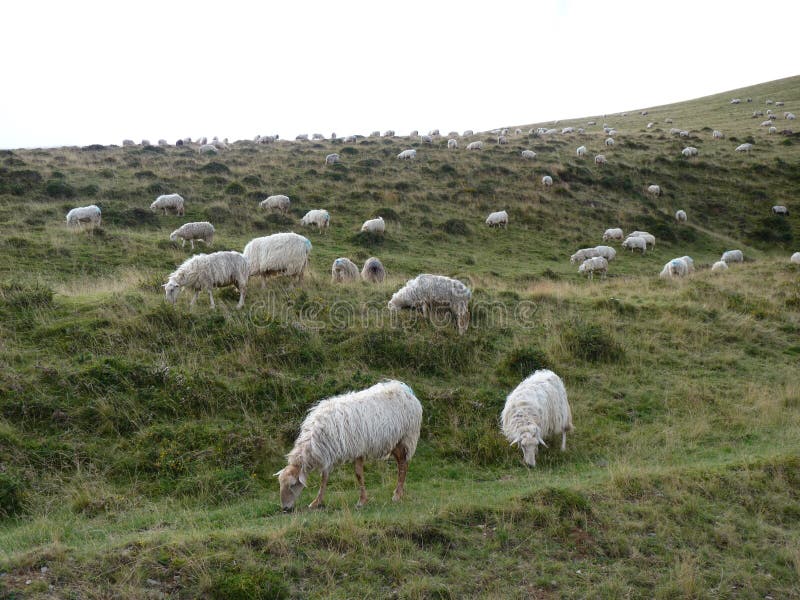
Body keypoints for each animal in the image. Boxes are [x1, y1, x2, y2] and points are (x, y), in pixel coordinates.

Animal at [275, 380, 422, 510]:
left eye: (293, 485)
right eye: (280, 484)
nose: (285, 509)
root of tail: (405, 389)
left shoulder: (357, 448)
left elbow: (358, 474)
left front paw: (361, 501)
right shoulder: (329, 453)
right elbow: (324, 478)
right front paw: (317, 502)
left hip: (405, 437)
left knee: (403, 464)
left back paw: (397, 495)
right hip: (394, 441)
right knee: (401, 462)